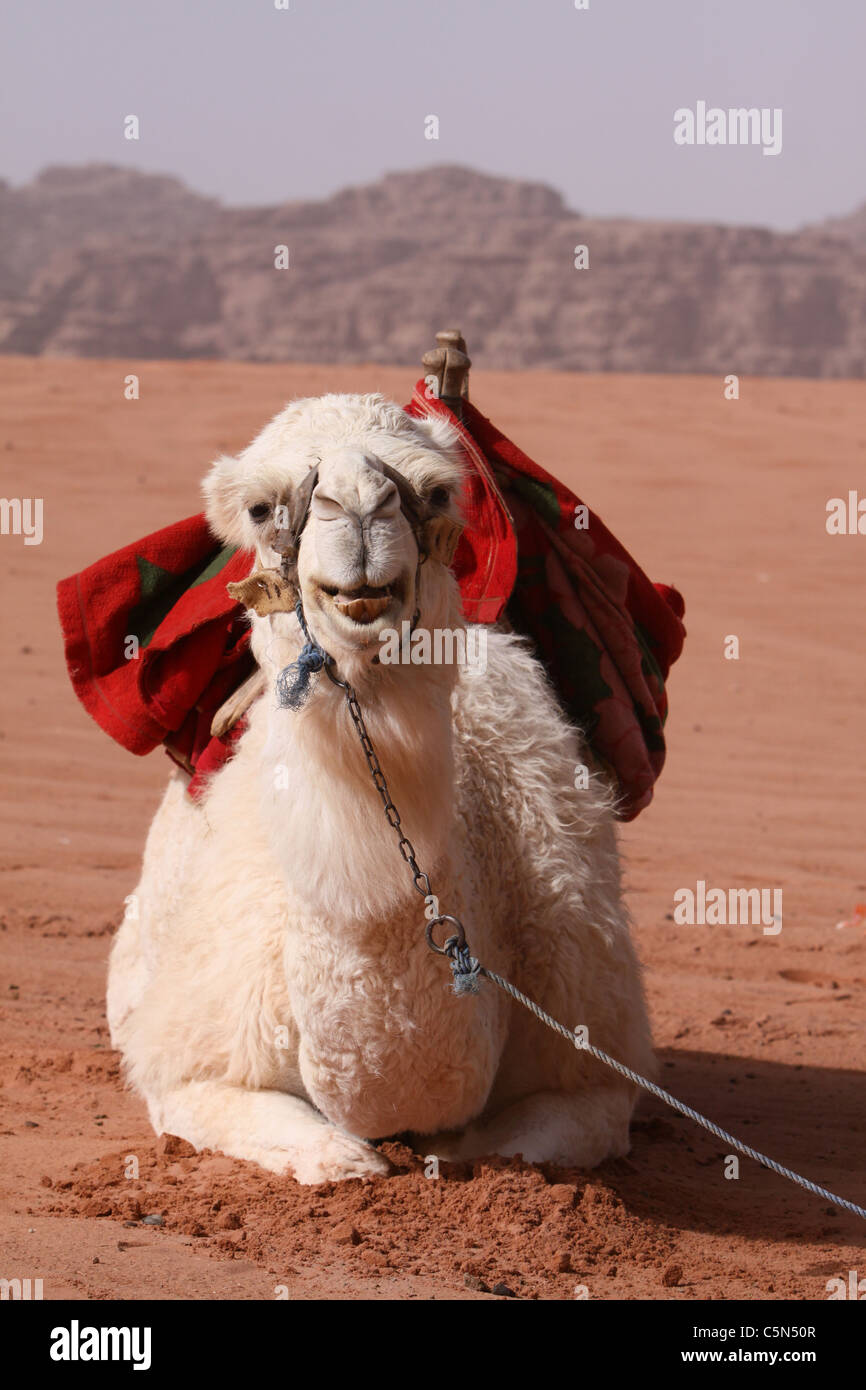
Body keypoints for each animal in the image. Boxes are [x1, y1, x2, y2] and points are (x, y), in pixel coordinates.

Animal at [106, 388, 655, 1183]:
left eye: (437, 491)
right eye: (262, 508)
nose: (360, 507)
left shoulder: (593, 1065)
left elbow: (512, 1146)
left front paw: (455, 1151)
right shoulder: (193, 1058)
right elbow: (334, 1157)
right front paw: (353, 1157)